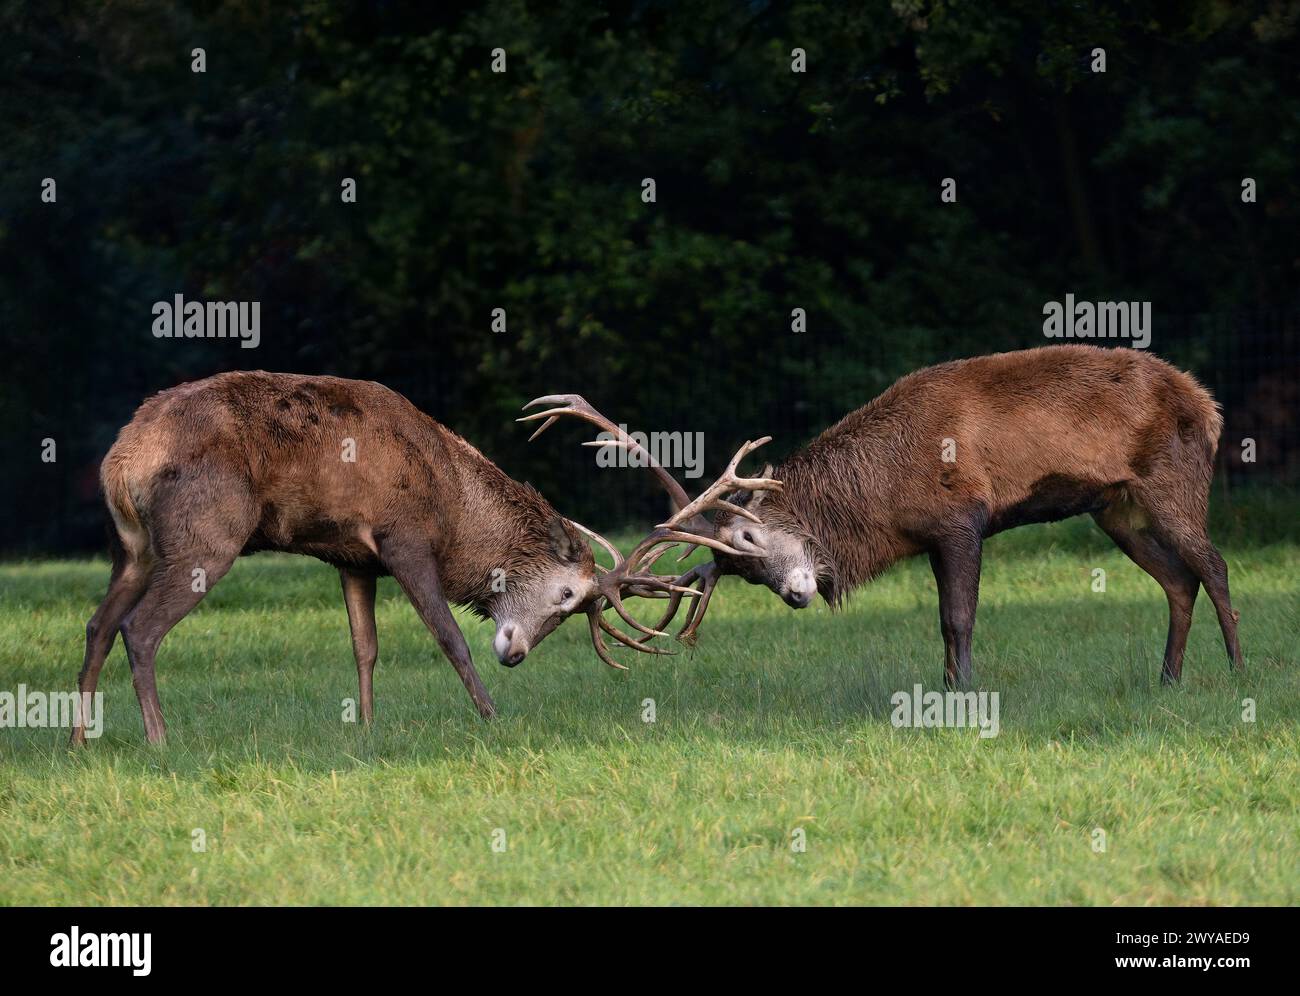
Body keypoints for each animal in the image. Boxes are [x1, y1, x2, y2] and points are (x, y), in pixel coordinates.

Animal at [73, 371, 777, 745]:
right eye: (566, 597)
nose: (516, 653)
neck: (453, 508)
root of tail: (122, 462)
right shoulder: (403, 537)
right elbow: (447, 636)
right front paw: (492, 716)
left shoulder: (351, 558)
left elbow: (365, 647)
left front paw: (366, 727)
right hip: (207, 533)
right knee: (140, 629)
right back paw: (159, 740)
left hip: (130, 548)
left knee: (98, 624)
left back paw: (81, 739)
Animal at [557, 346, 1245, 690]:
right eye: (745, 574)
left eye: (750, 536)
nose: (797, 594)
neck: (884, 501)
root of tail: (1210, 405)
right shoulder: (934, 537)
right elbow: (942, 622)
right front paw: (945, 685)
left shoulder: (961, 517)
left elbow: (958, 618)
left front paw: (962, 691)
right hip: (1116, 509)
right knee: (1179, 581)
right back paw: (1167, 679)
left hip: (1172, 480)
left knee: (1214, 565)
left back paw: (1238, 670)